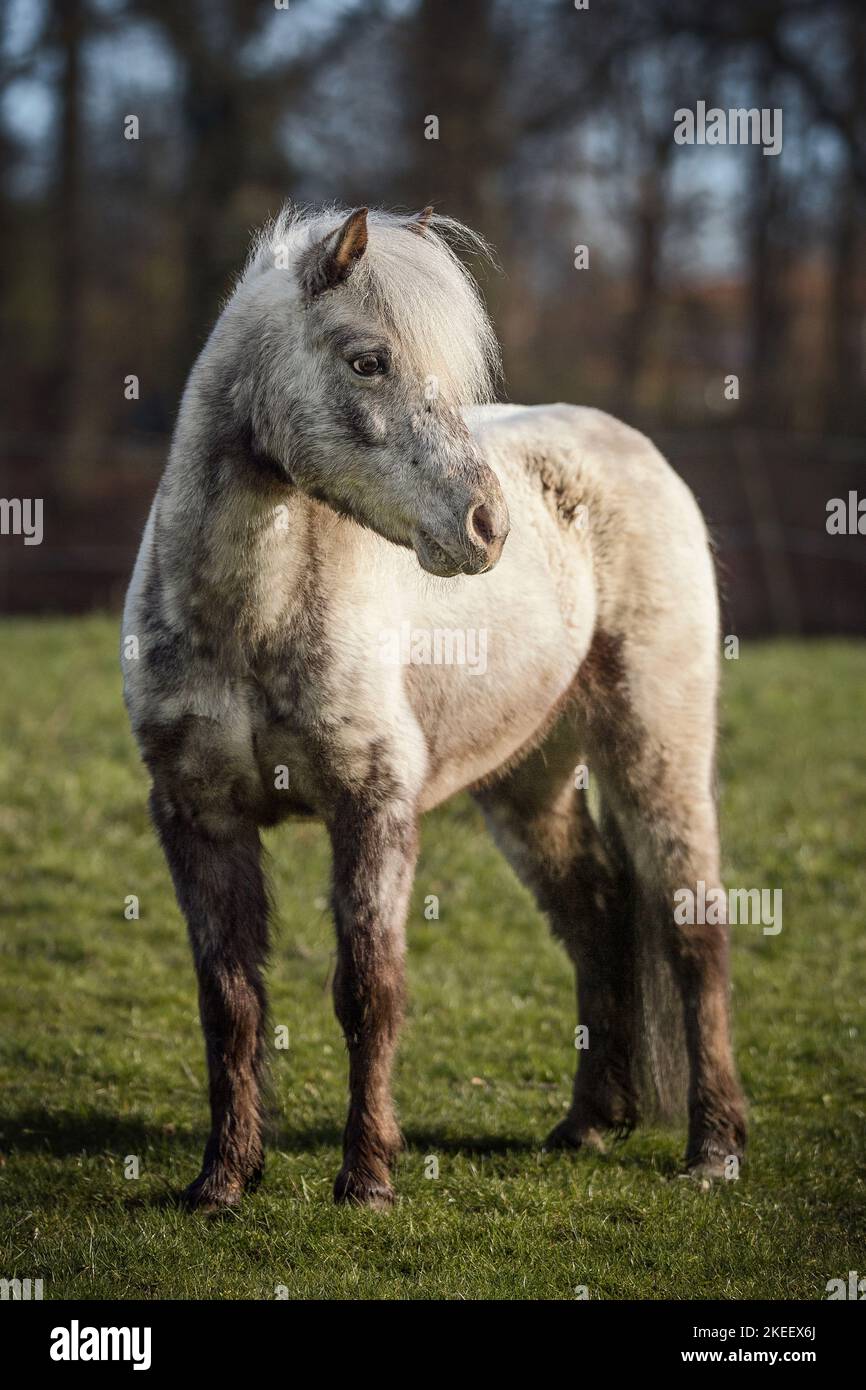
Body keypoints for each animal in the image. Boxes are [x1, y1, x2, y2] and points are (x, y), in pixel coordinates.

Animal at [122, 204, 746, 1210]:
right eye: (368, 360)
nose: (488, 527)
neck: (250, 622)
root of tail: (632, 449)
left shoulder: (372, 806)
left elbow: (368, 991)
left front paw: (367, 1180)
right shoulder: (196, 815)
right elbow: (231, 1001)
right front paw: (221, 1180)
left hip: (656, 751)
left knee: (694, 931)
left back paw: (713, 1152)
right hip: (530, 785)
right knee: (598, 911)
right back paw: (588, 1124)